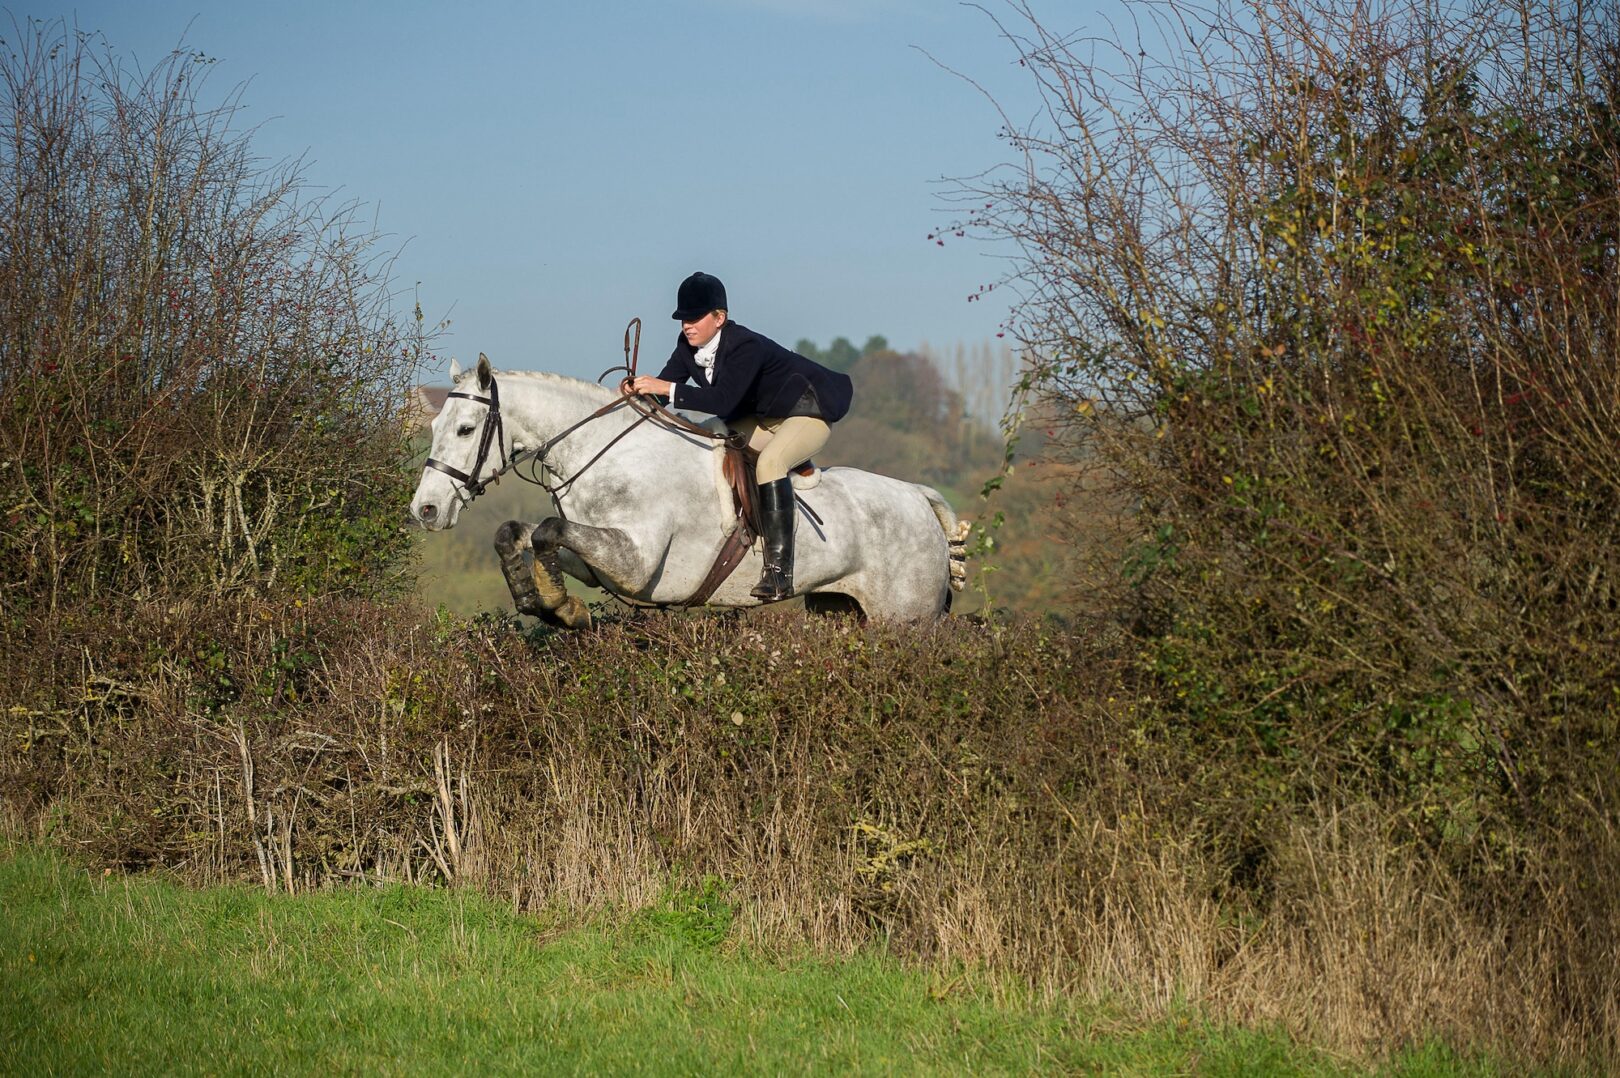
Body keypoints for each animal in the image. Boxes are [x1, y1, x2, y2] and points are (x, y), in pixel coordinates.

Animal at [409, 354, 968, 628]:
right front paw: (537, 597)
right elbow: (519, 532)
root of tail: (918, 495)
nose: (426, 510)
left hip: (906, 622)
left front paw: (561, 608)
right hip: (843, 611)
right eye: (432, 425)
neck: (604, 455)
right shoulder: (596, 558)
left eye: (465, 429)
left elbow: (548, 529)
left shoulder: (635, 562)